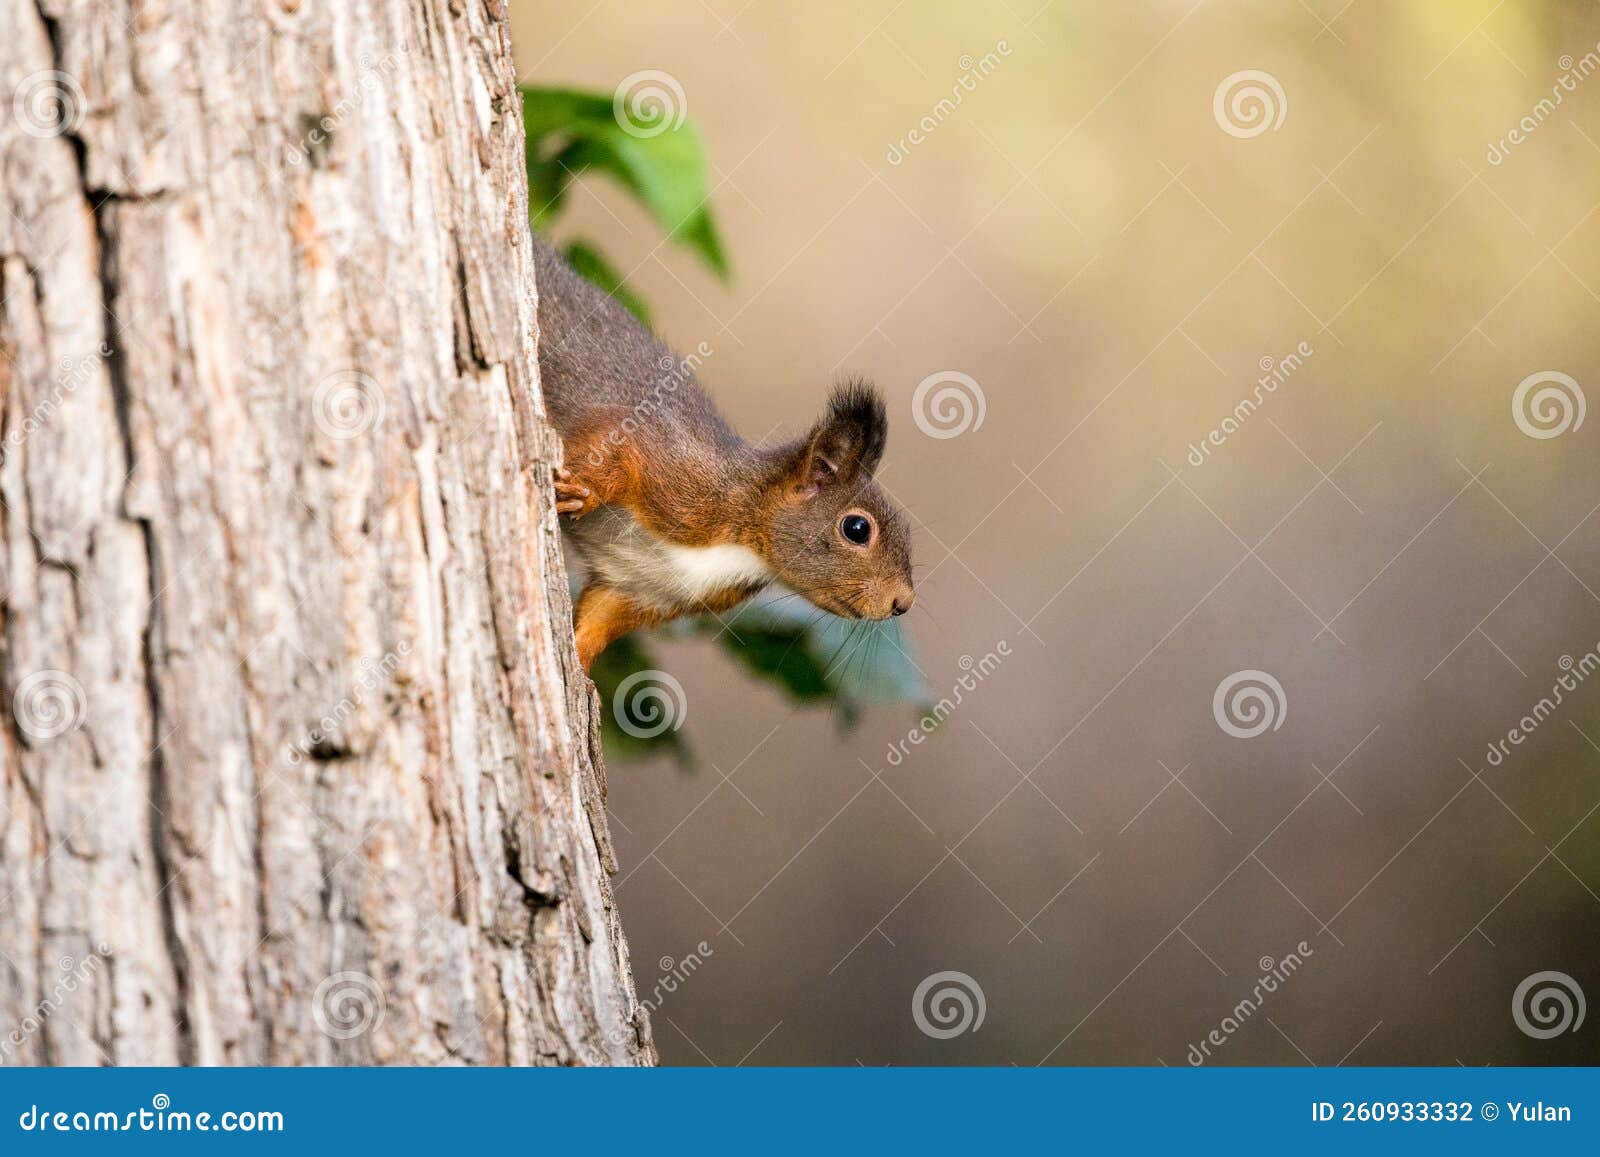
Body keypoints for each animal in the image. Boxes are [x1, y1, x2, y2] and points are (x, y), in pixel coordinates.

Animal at [532, 238, 916, 670]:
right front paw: (583, 491)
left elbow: (598, 621)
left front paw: (579, 671)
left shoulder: (640, 589)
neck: (744, 541)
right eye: (857, 528)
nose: (903, 602)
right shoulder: (678, 472)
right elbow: (616, 451)